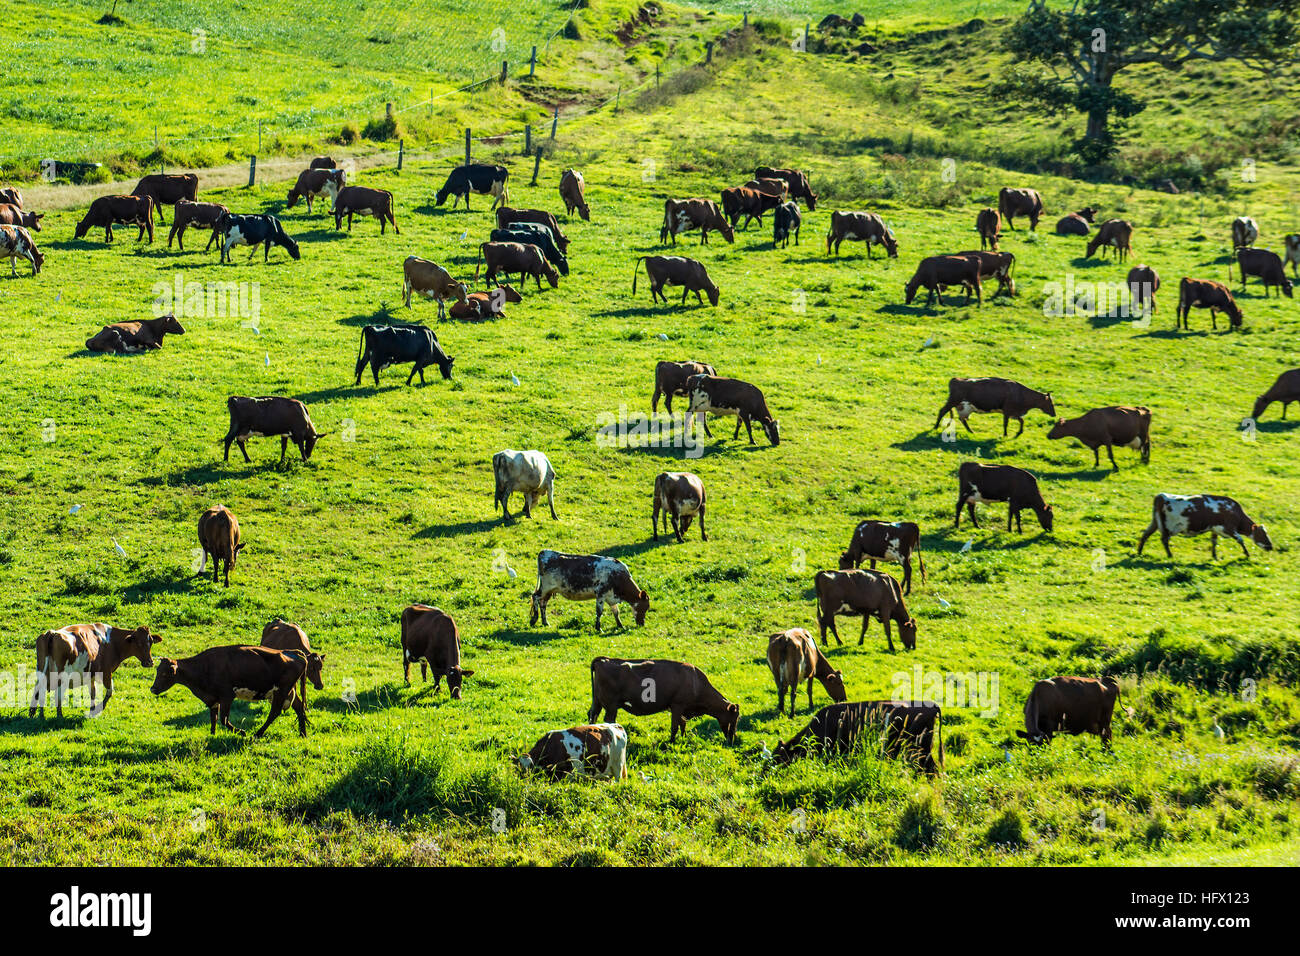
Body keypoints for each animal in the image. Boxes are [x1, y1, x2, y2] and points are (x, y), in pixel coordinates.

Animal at [28, 623, 160, 719]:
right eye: (138, 643)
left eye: (151, 642)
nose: (150, 662)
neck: (113, 643)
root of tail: (52, 632)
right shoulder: (106, 672)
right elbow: (109, 692)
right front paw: (98, 709)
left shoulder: (90, 675)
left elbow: (93, 692)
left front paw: (92, 710)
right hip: (63, 676)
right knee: (57, 695)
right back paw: (59, 716)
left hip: (42, 670)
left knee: (39, 691)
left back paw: (36, 714)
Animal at [151, 646, 314, 737]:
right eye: (157, 671)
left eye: (164, 673)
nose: (152, 689)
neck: (204, 667)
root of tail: (294, 652)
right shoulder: (213, 699)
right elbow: (213, 719)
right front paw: (212, 735)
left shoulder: (227, 696)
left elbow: (223, 719)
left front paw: (241, 732)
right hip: (288, 691)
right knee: (299, 708)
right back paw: (303, 734)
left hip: (281, 691)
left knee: (274, 712)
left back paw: (257, 734)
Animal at [588, 657, 739, 743]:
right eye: (733, 718)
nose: (732, 740)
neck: (695, 680)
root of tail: (603, 660)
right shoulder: (677, 706)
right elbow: (675, 726)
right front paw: (672, 742)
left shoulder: (681, 710)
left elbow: (682, 725)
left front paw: (683, 738)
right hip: (611, 706)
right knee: (608, 721)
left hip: (598, 702)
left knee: (592, 715)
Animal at [1137, 494, 1272, 560]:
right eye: (1262, 534)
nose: (1270, 547)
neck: (1234, 512)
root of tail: (1161, 496)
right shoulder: (1228, 528)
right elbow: (1240, 540)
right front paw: (1247, 554)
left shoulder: (1215, 529)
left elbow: (1214, 542)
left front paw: (1214, 556)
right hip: (1168, 527)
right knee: (1164, 539)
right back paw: (1170, 555)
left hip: (1155, 523)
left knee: (1145, 535)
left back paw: (1139, 552)